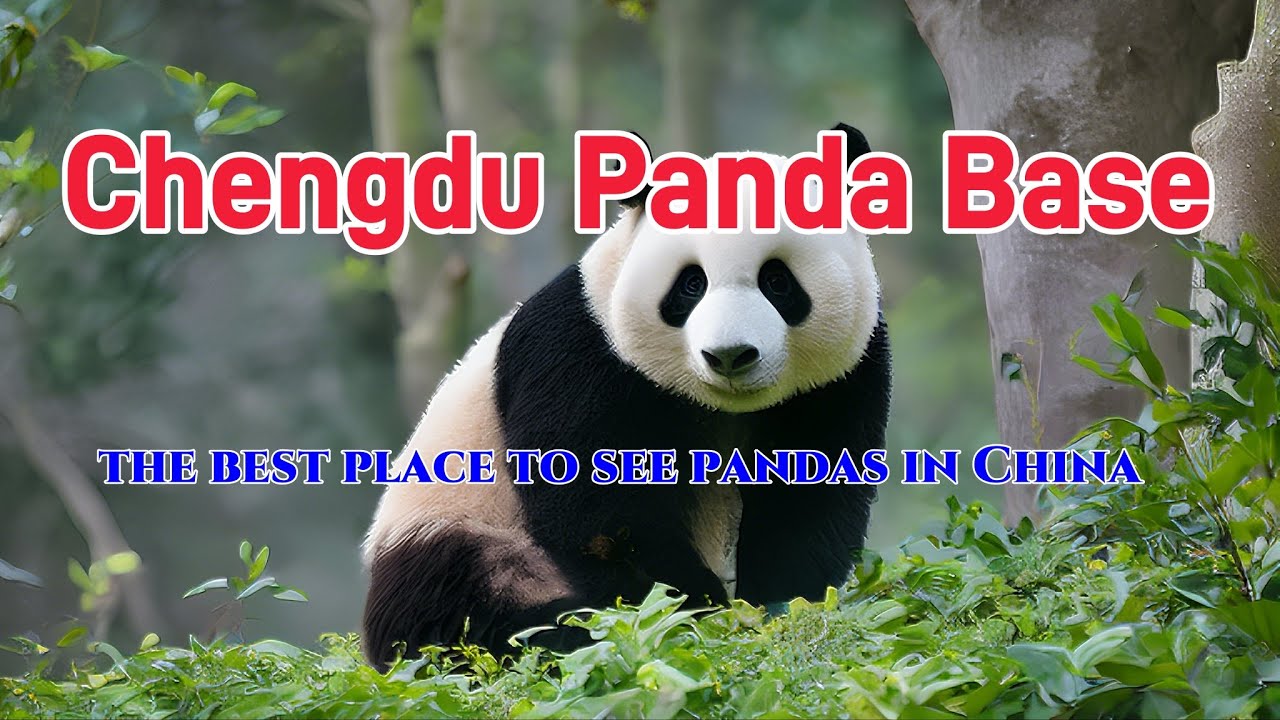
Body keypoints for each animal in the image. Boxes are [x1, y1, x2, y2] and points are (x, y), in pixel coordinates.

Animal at [361, 123, 891, 669]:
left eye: (777, 280)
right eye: (691, 284)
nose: (729, 356)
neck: (721, 405)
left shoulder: (841, 379)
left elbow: (811, 496)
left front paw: (774, 605)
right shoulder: (582, 351)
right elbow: (601, 512)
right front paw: (690, 610)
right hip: (462, 523)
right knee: (461, 603)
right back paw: (556, 632)